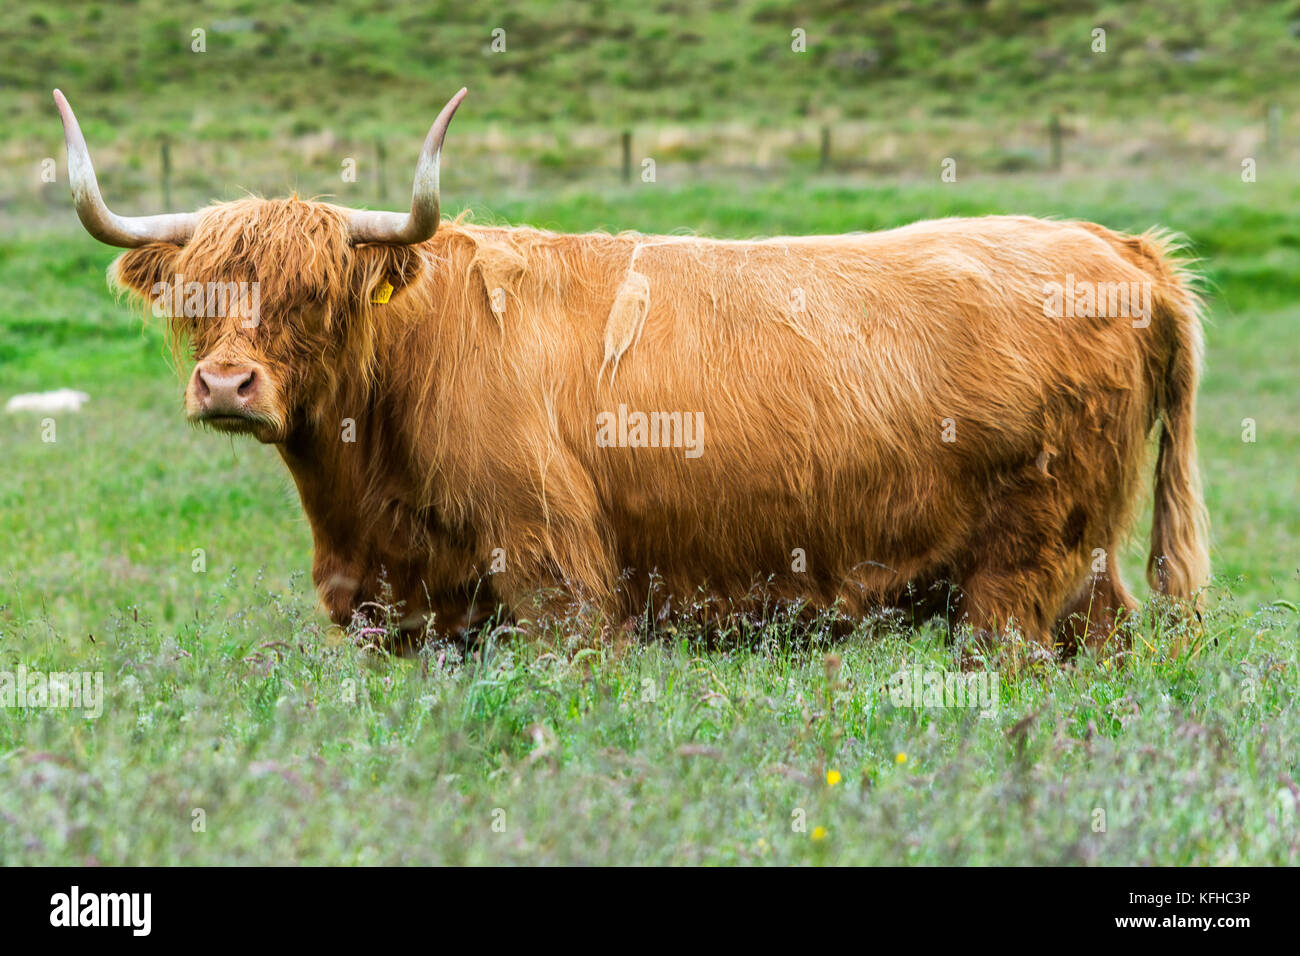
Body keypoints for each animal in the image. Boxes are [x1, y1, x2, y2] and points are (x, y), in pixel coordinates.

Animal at [54, 88, 1210, 660]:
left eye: (314, 293)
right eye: (197, 296)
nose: (227, 386)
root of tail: (1119, 247)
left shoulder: (553, 573)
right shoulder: (412, 613)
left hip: (1017, 571)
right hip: (1078, 571)